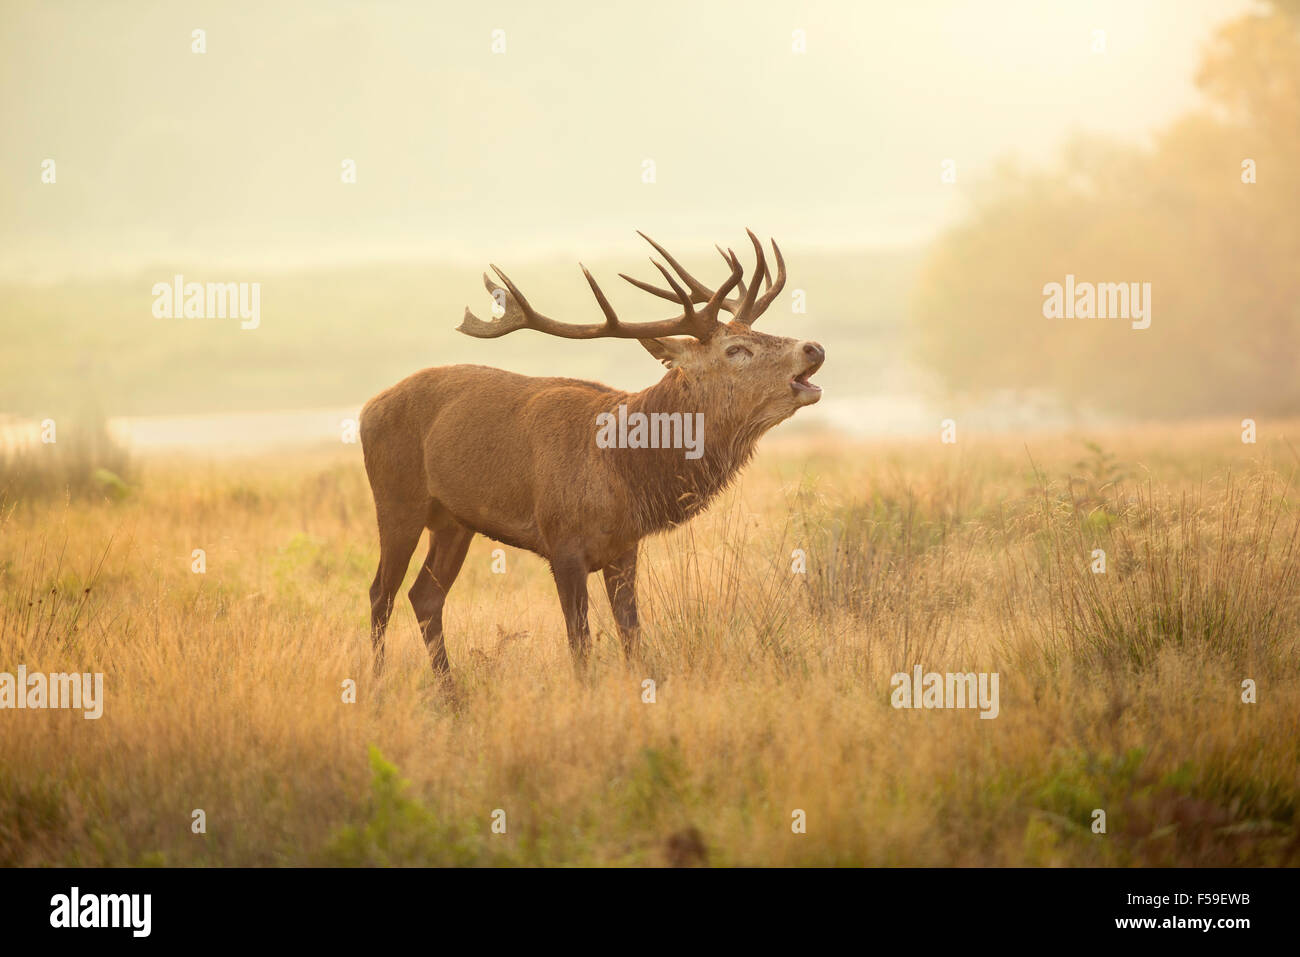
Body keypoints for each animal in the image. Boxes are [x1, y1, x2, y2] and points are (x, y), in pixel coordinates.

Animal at [360, 230, 824, 678]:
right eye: (735, 350)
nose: (813, 348)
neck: (625, 470)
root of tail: (367, 408)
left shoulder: (624, 549)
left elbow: (632, 638)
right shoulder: (562, 544)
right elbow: (580, 647)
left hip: (454, 521)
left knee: (425, 595)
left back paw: (450, 693)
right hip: (397, 500)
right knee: (381, 592)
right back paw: (378, 681)